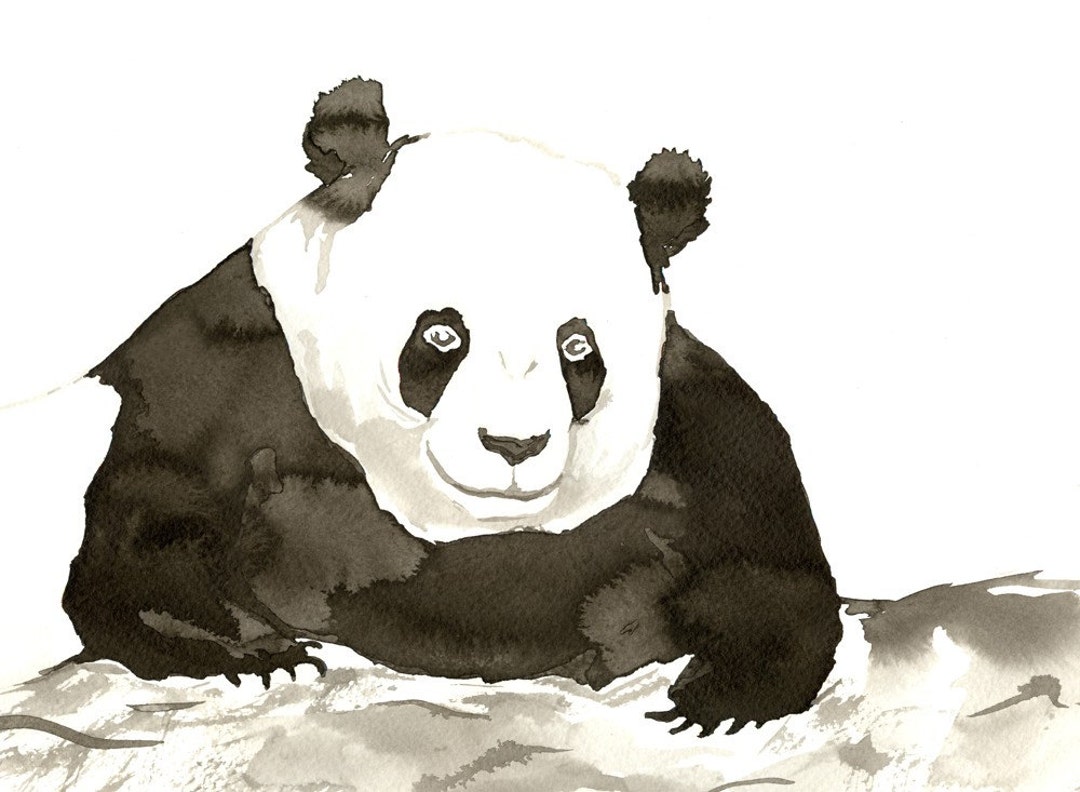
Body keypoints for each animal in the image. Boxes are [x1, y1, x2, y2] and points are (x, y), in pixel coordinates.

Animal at [61, 77, 842, 737]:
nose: (514, 444)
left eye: (577, 348)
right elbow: (146, 541)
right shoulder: (217, 373)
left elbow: (763, 563)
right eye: (442, 334)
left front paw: (719, 696)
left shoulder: (699, 421)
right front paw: (264, 654)